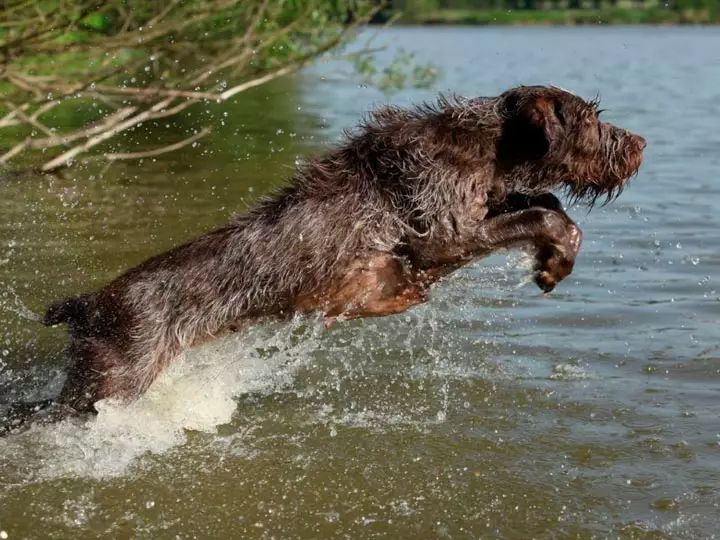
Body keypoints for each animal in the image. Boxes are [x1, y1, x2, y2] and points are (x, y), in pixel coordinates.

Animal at [1, 84, 648, 434]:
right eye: (592, 119)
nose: (640, 144)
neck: (489, 146)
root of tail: (87, 305)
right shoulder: (440, 237)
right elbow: (542, 214)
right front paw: (556, 254)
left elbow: (542, 201)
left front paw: (554, 252)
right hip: (109, 384)